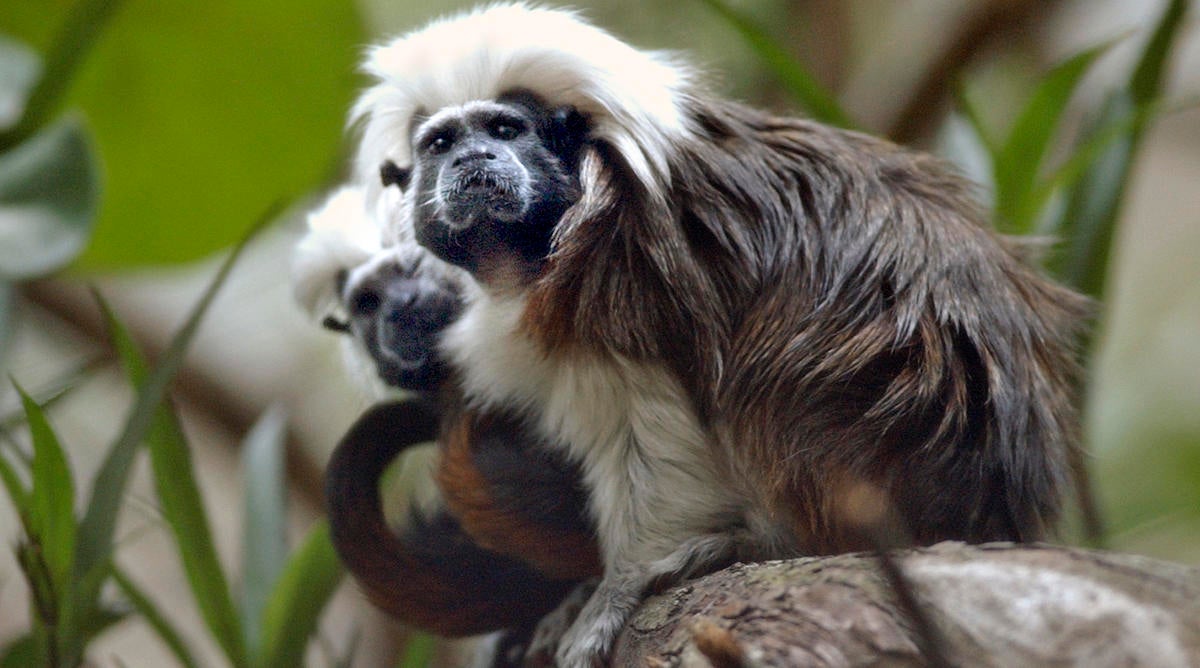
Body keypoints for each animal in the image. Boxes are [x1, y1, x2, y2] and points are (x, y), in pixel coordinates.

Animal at [342, 5, 1092, 666]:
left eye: (503, 127)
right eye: (441, 142)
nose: (472, 157)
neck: (529, 251)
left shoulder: (618, 274)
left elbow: (654, 436)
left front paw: (621, 585)